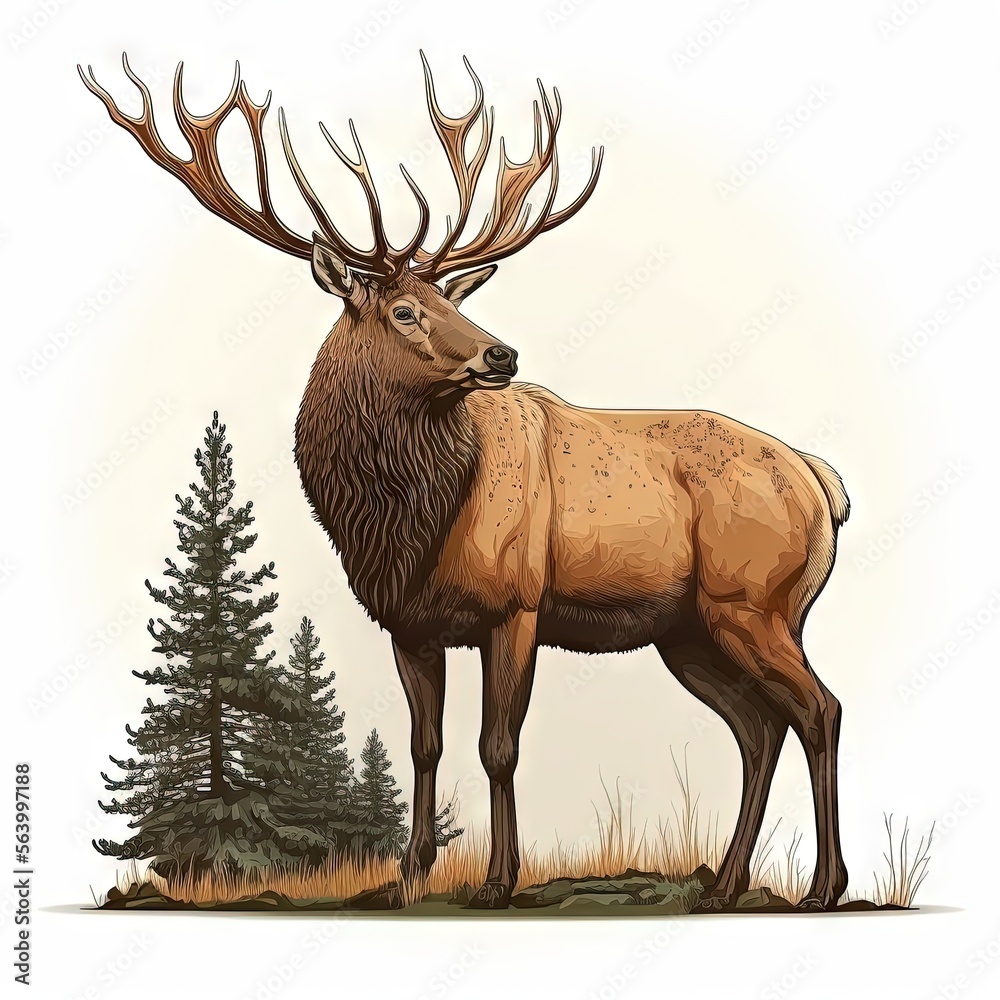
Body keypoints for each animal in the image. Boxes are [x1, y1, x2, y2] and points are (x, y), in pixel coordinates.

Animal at [80, 52, 851, 911]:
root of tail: (822, 482)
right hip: (688, 630)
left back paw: (823, 886)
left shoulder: (516, 604)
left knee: (819, 709)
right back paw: (723, 884)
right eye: (406, 312)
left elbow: (498, 745)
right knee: (758, 728)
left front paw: (498, 880)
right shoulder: (408, 622)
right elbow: (424, 745)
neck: (408, 521)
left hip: (754, 602)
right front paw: (406, 876)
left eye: (449, 299)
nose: (501, 353)